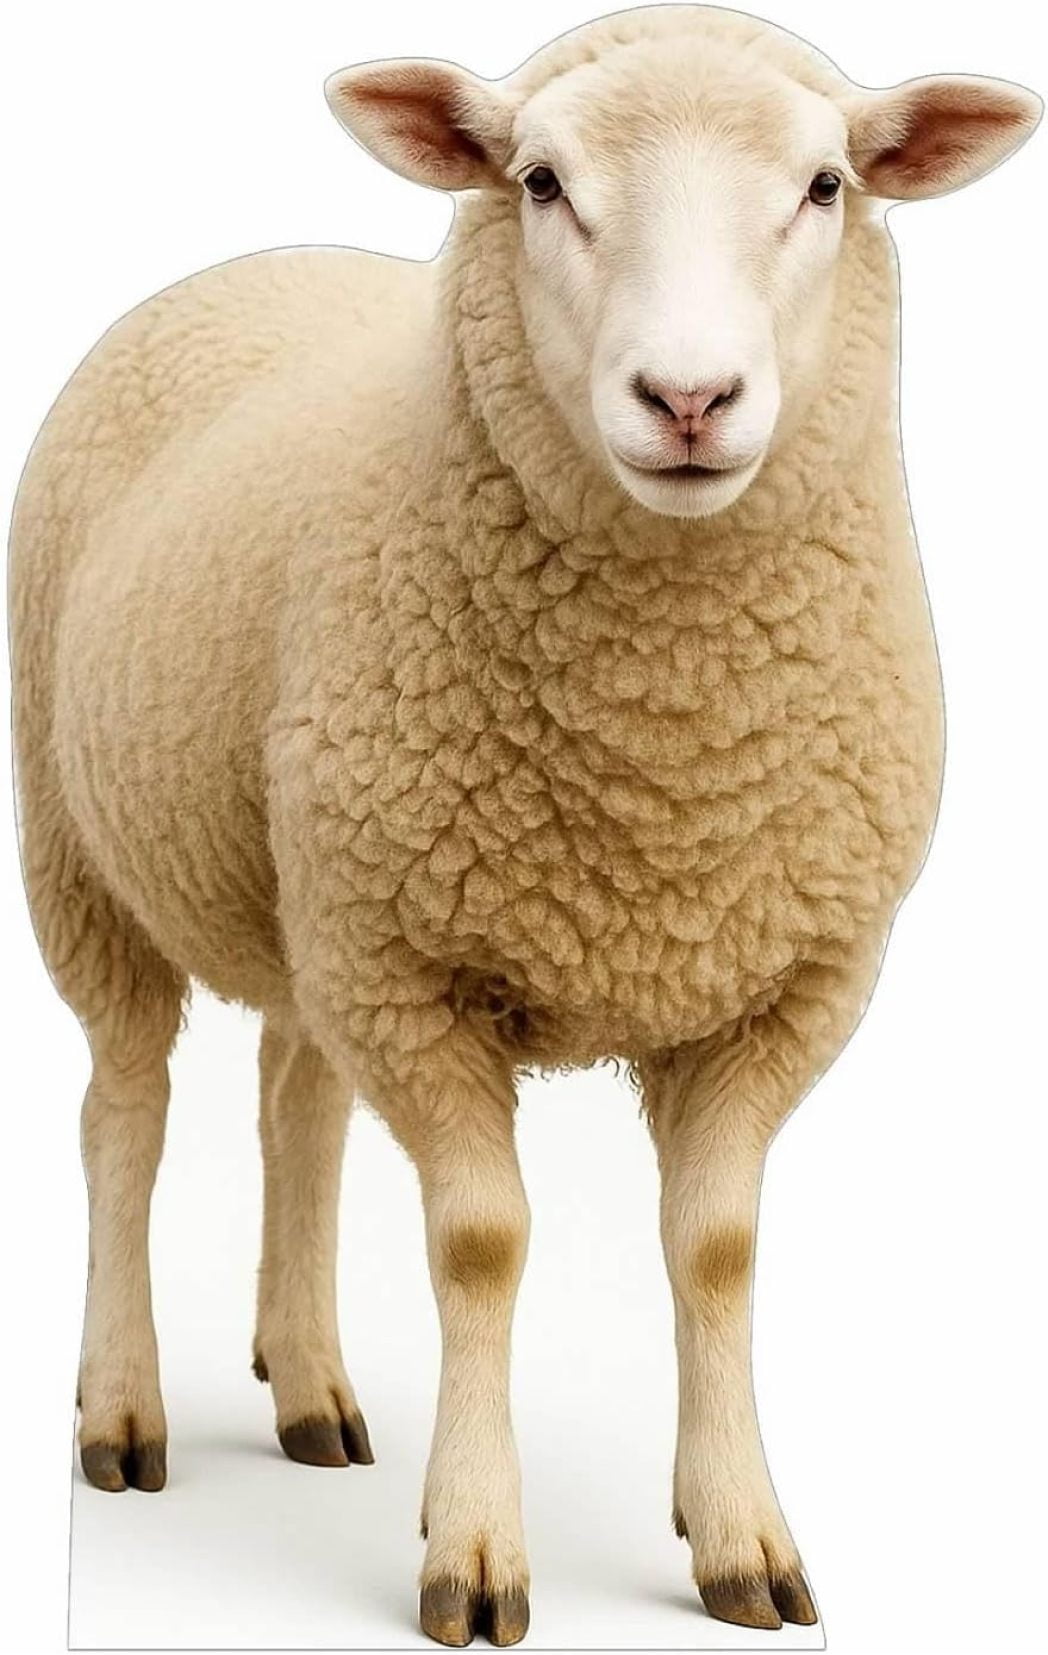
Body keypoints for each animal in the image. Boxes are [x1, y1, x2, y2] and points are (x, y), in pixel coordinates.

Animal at [8, 3, 1039, 1645]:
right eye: (543, 182)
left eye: (824, 185)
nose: (688, 400)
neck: (664, 760)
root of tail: (254, 259)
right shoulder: (414, 974)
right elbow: (481, 1241)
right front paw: (475, 1545)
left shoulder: (782, 983)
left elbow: (718, 1248)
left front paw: (737, 1531)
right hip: (83, 852)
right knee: (123, 1111)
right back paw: (120, 1410)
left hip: (314, 889)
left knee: (296, 1101)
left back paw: (309, 1387)